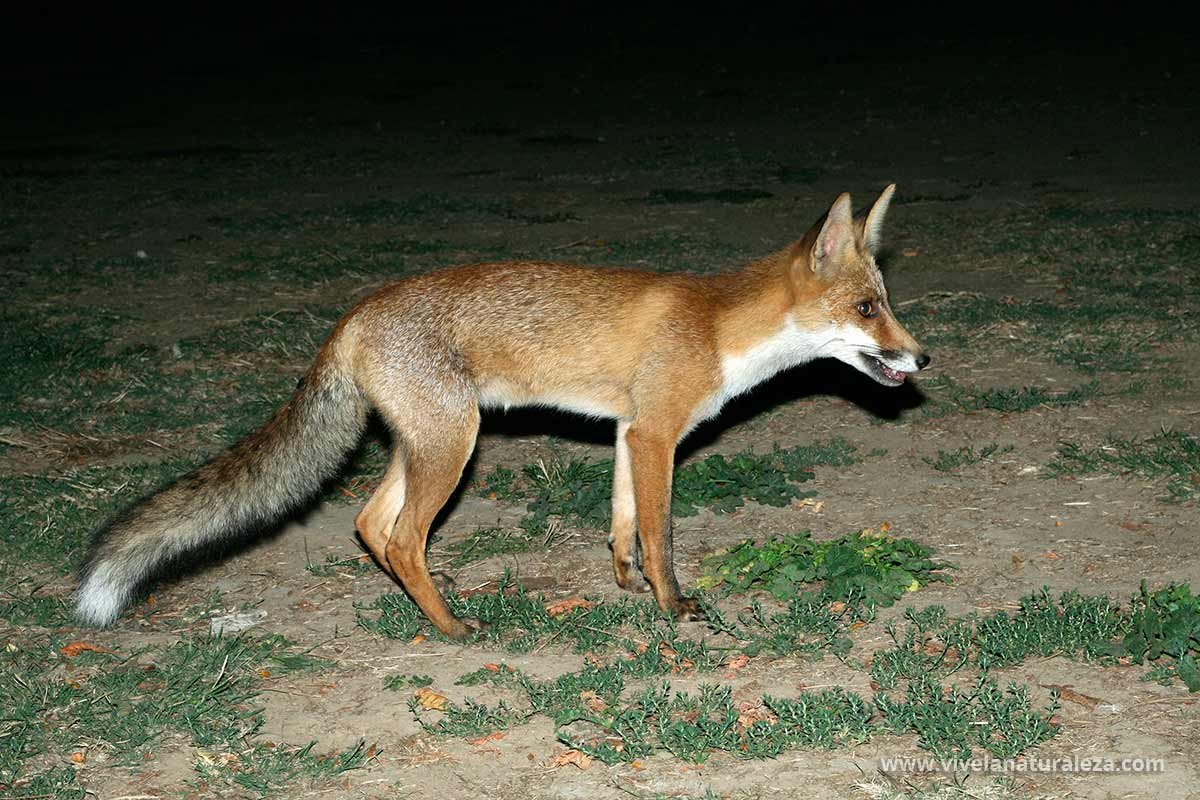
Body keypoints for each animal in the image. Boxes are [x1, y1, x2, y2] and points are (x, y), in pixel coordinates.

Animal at [76, 184, 929, 639]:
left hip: (425, 444)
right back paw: (451, 627)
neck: (720, 329)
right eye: (868, 308)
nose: (922, 360)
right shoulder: (657, 435)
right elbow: (660, 535)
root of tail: (355, 313)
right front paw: (672, 605)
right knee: (404, 536)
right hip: (456, 444)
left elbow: (622, 524)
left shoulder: (630, 433)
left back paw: (427, 601)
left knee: (371, 525)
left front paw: (625, 585)